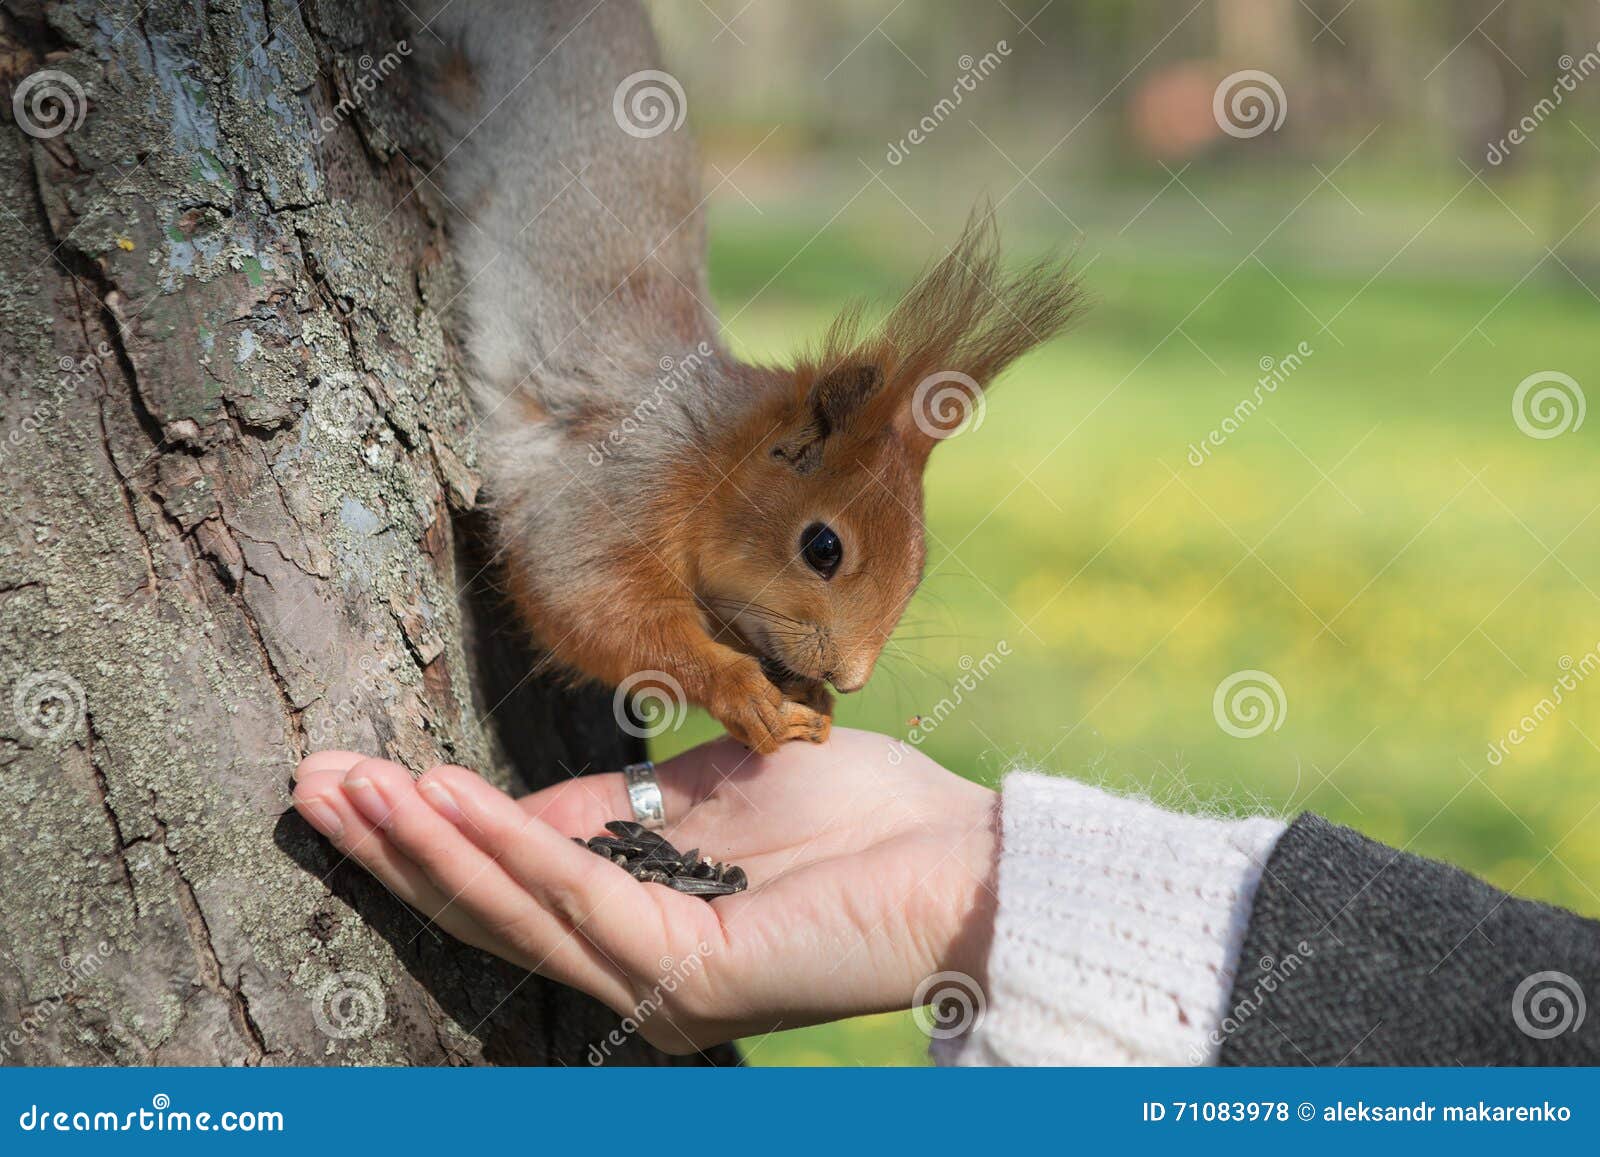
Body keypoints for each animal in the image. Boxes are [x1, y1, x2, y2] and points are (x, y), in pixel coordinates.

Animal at [418, 0, 1082, 753]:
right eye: (822, 547)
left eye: (919, 569)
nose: (852, 676)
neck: (712, 450)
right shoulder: (616, 481)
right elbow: (589, 597)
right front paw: (740, 691)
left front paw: (806, 692)